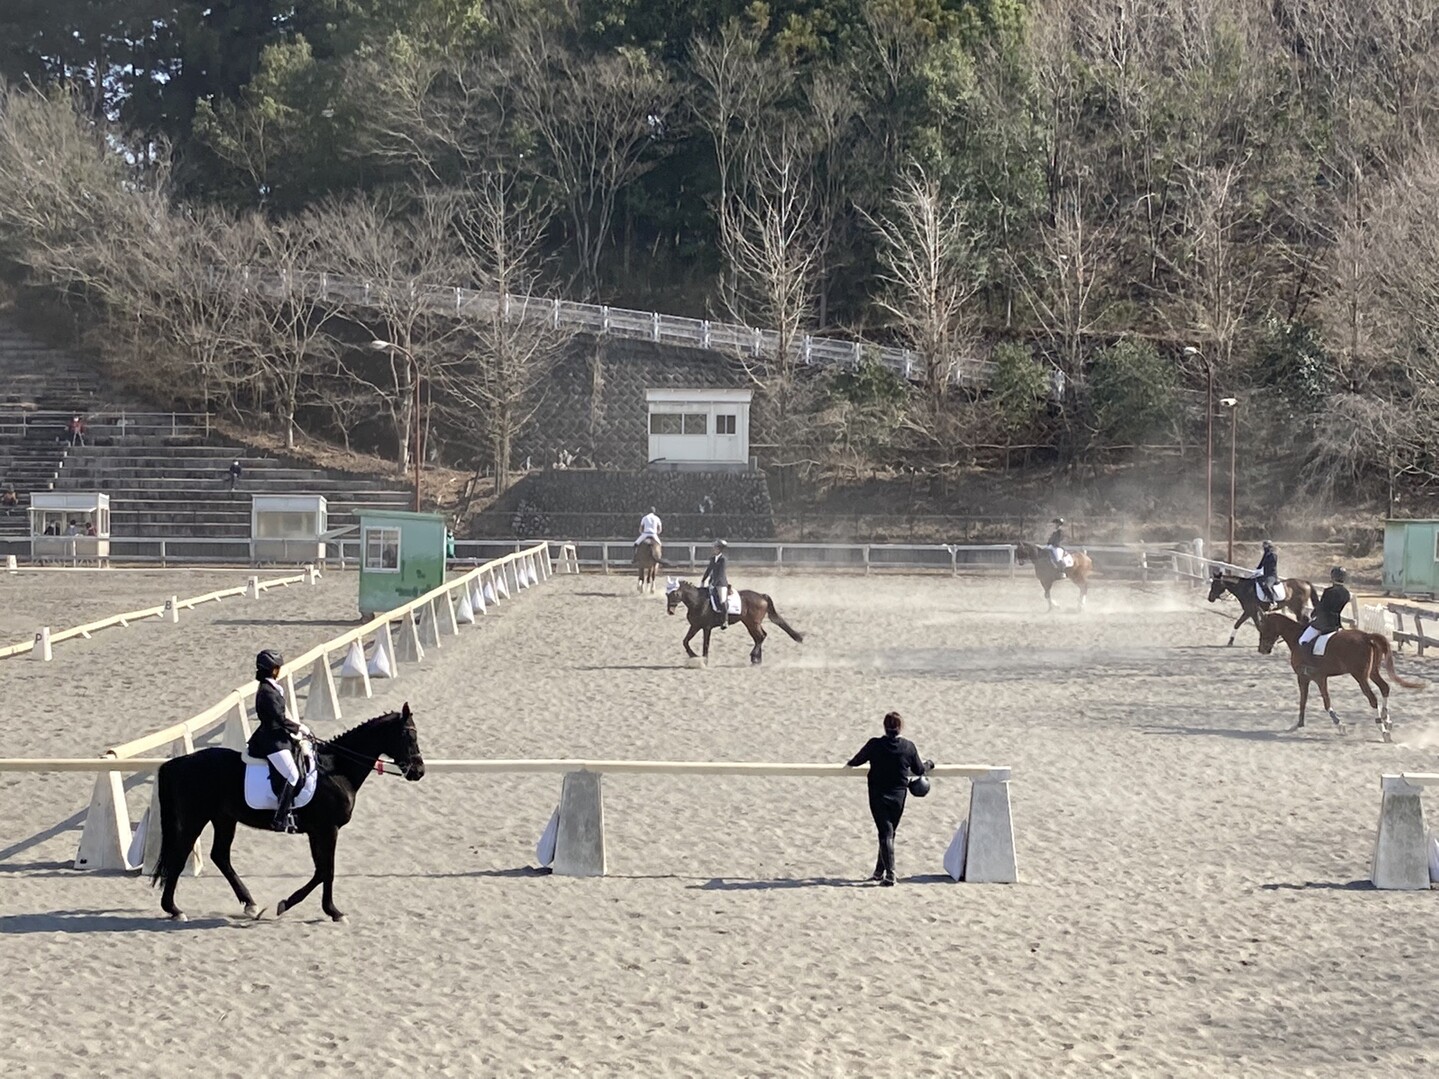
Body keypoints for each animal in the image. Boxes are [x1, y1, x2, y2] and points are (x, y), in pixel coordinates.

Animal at [150, 705, 426, 922]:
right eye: (408, 735)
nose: (419, 772)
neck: (337, 770)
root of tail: (178, 763)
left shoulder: (317, 831)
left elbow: (321, 870)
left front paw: (292, 904)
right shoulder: (328, 829)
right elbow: (327, 870)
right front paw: (332, 911)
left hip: (224, 818)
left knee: (220, 856)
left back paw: (251, 905)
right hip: (196, 818)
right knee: (180, 856)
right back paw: (174, 910)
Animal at [665, 578, 803, 664]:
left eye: (675, 594)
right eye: (667, 594)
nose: (670, 611)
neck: (697, 601)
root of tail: (761, 595)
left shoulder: (706, 627)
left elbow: (705, 644)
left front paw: (703, 660)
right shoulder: (695, 626)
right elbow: (685, 641)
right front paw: (693, 656)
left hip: (752, 623)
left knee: (761, 636)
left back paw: (754, 656)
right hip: (750, 623)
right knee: (759, 637)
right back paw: (757, 660)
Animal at [1257, 613, 1425, 740]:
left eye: (1263, 627)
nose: (1262, 649)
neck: (1296, 638)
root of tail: (1366, 636)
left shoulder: (1312, 677)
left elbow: (1323, 702)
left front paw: (1340, 725)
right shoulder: (1311, 678)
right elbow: (1303, 701)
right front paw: (1299, 724)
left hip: (1360, 676)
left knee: (1372, 698)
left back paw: (1383, 730)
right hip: (1372, 673)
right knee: (1385, 688)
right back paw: (1386, 719)